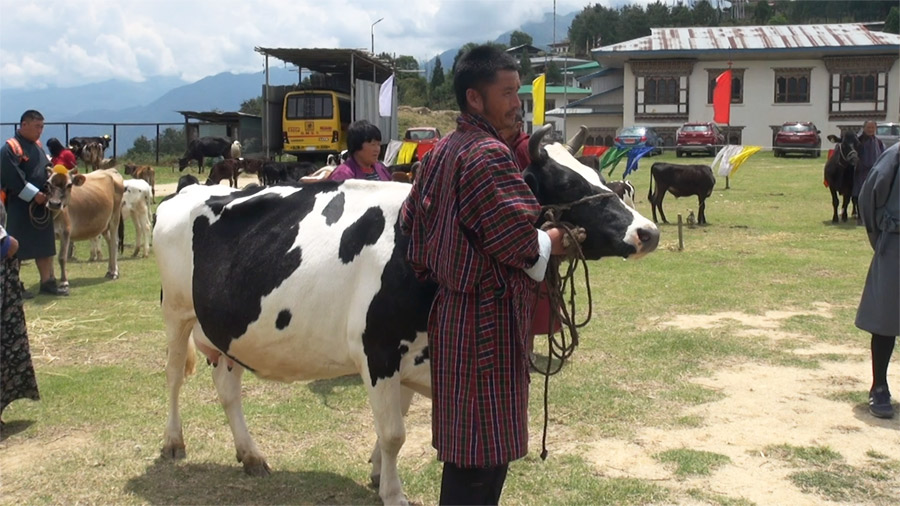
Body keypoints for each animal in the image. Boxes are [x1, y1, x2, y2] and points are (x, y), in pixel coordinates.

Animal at [153, 124, 659, 505]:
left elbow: (394, 423)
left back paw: (251, 455)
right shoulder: (377, 351)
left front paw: (379, 472)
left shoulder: (417, 354)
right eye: (570, 182)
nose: (647, 232)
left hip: (228, 331)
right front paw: (394, 492)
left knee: (227, 389)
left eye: (596, 172)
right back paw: (173, 443)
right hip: (177, 313)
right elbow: (394, 432)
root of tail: (193, 189)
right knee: (175, 376)